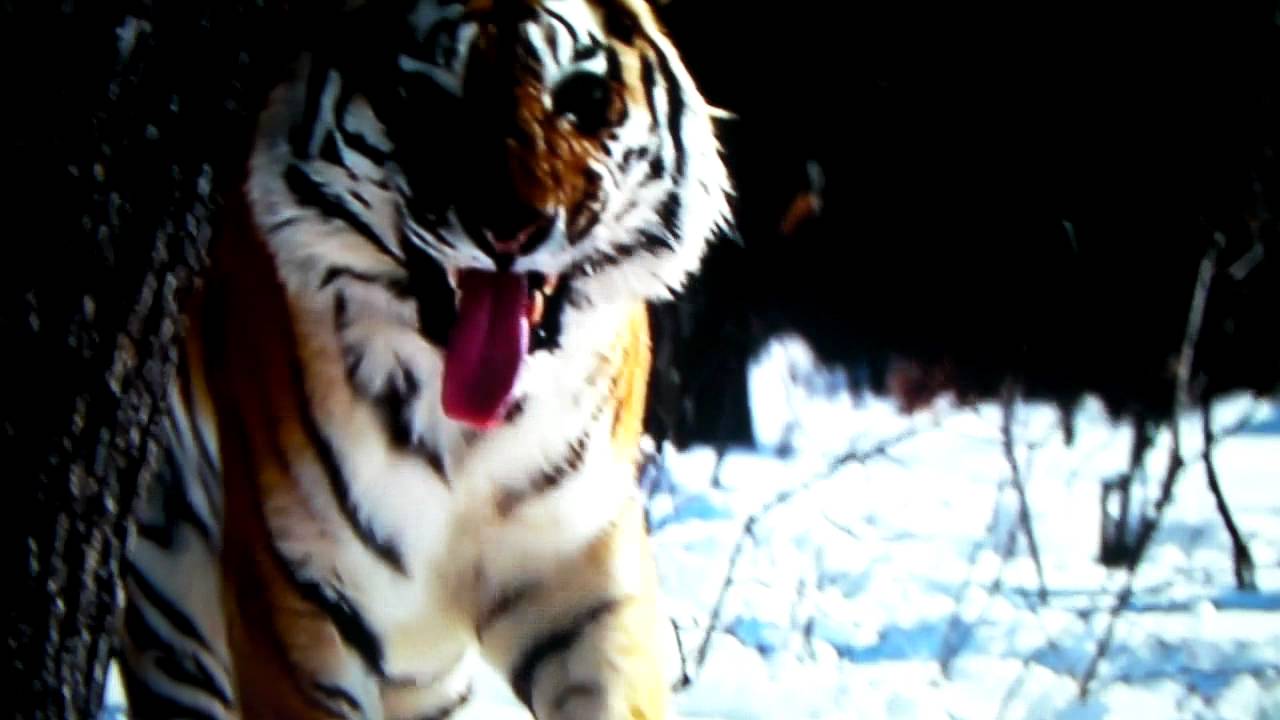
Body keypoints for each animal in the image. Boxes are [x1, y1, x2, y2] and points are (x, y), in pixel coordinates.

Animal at [118, 1, 731, 718]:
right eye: (425, 97)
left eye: (581, 96)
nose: (511, 229)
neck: (473, 435)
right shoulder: (298, 600)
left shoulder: (586, 577)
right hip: (170, 585)